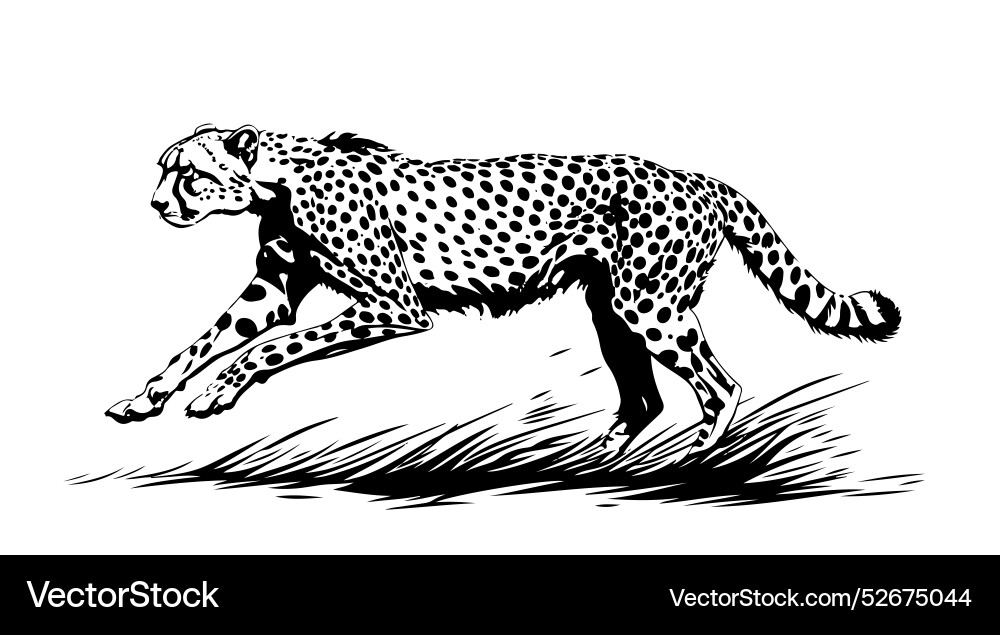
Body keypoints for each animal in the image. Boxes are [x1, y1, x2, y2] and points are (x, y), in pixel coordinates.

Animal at [106, 124, 901, 454]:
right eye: (165, 170)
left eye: (188, 174)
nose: (154, 204)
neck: (278, 179)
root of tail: (699, 175)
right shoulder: (271, 291)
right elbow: (199, 343)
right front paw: (145, 400)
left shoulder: (391, 309)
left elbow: (274, 347)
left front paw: (217, 393)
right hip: (613, 308)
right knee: (644, 397)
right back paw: (603, 459)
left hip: (650, 307)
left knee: (722, 384)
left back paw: (696, 458)